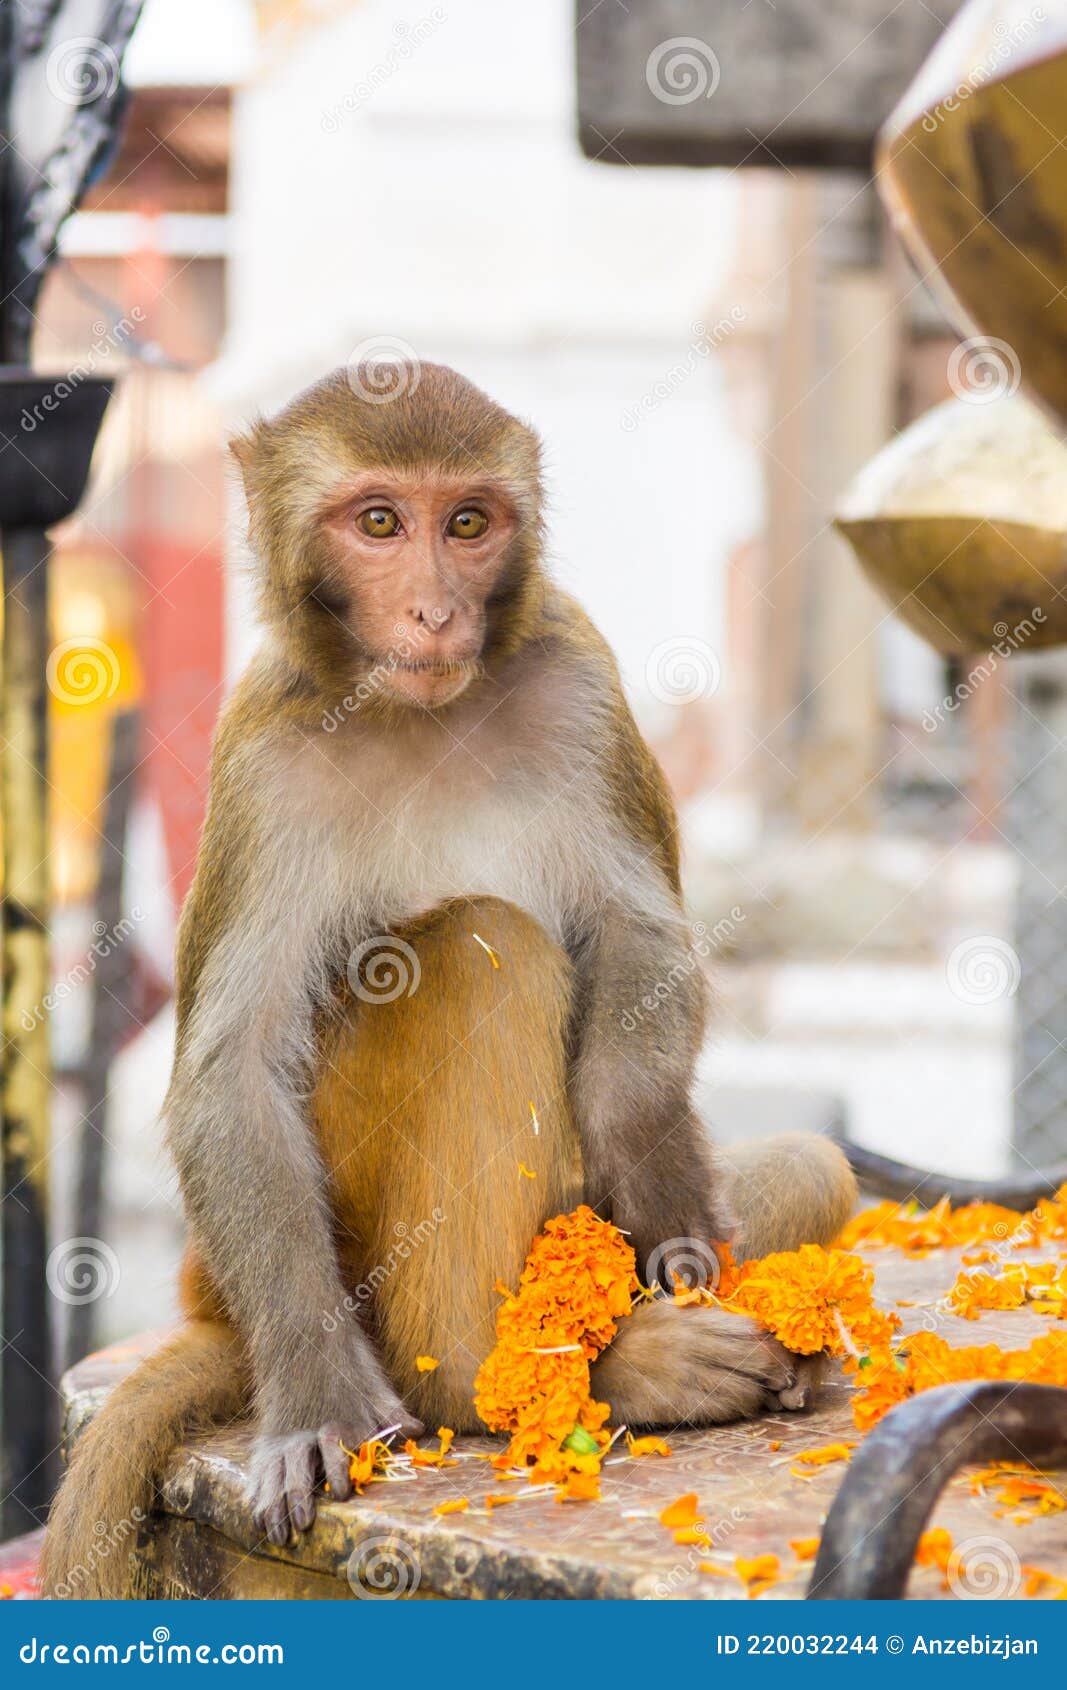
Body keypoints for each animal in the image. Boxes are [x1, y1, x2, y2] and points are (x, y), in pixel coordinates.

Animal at [41, 363, 855, 1597]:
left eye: (467, 524)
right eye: (380, 523)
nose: (433, 610)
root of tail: (208, 1301)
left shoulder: (578, 675)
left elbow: (637, 935)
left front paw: (649, 1157)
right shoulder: (261, 756)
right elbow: (233, 1071)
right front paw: (317, 1397)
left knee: (805, 1163)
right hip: (327, 1246)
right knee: (476, 951)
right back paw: (511, 1371)